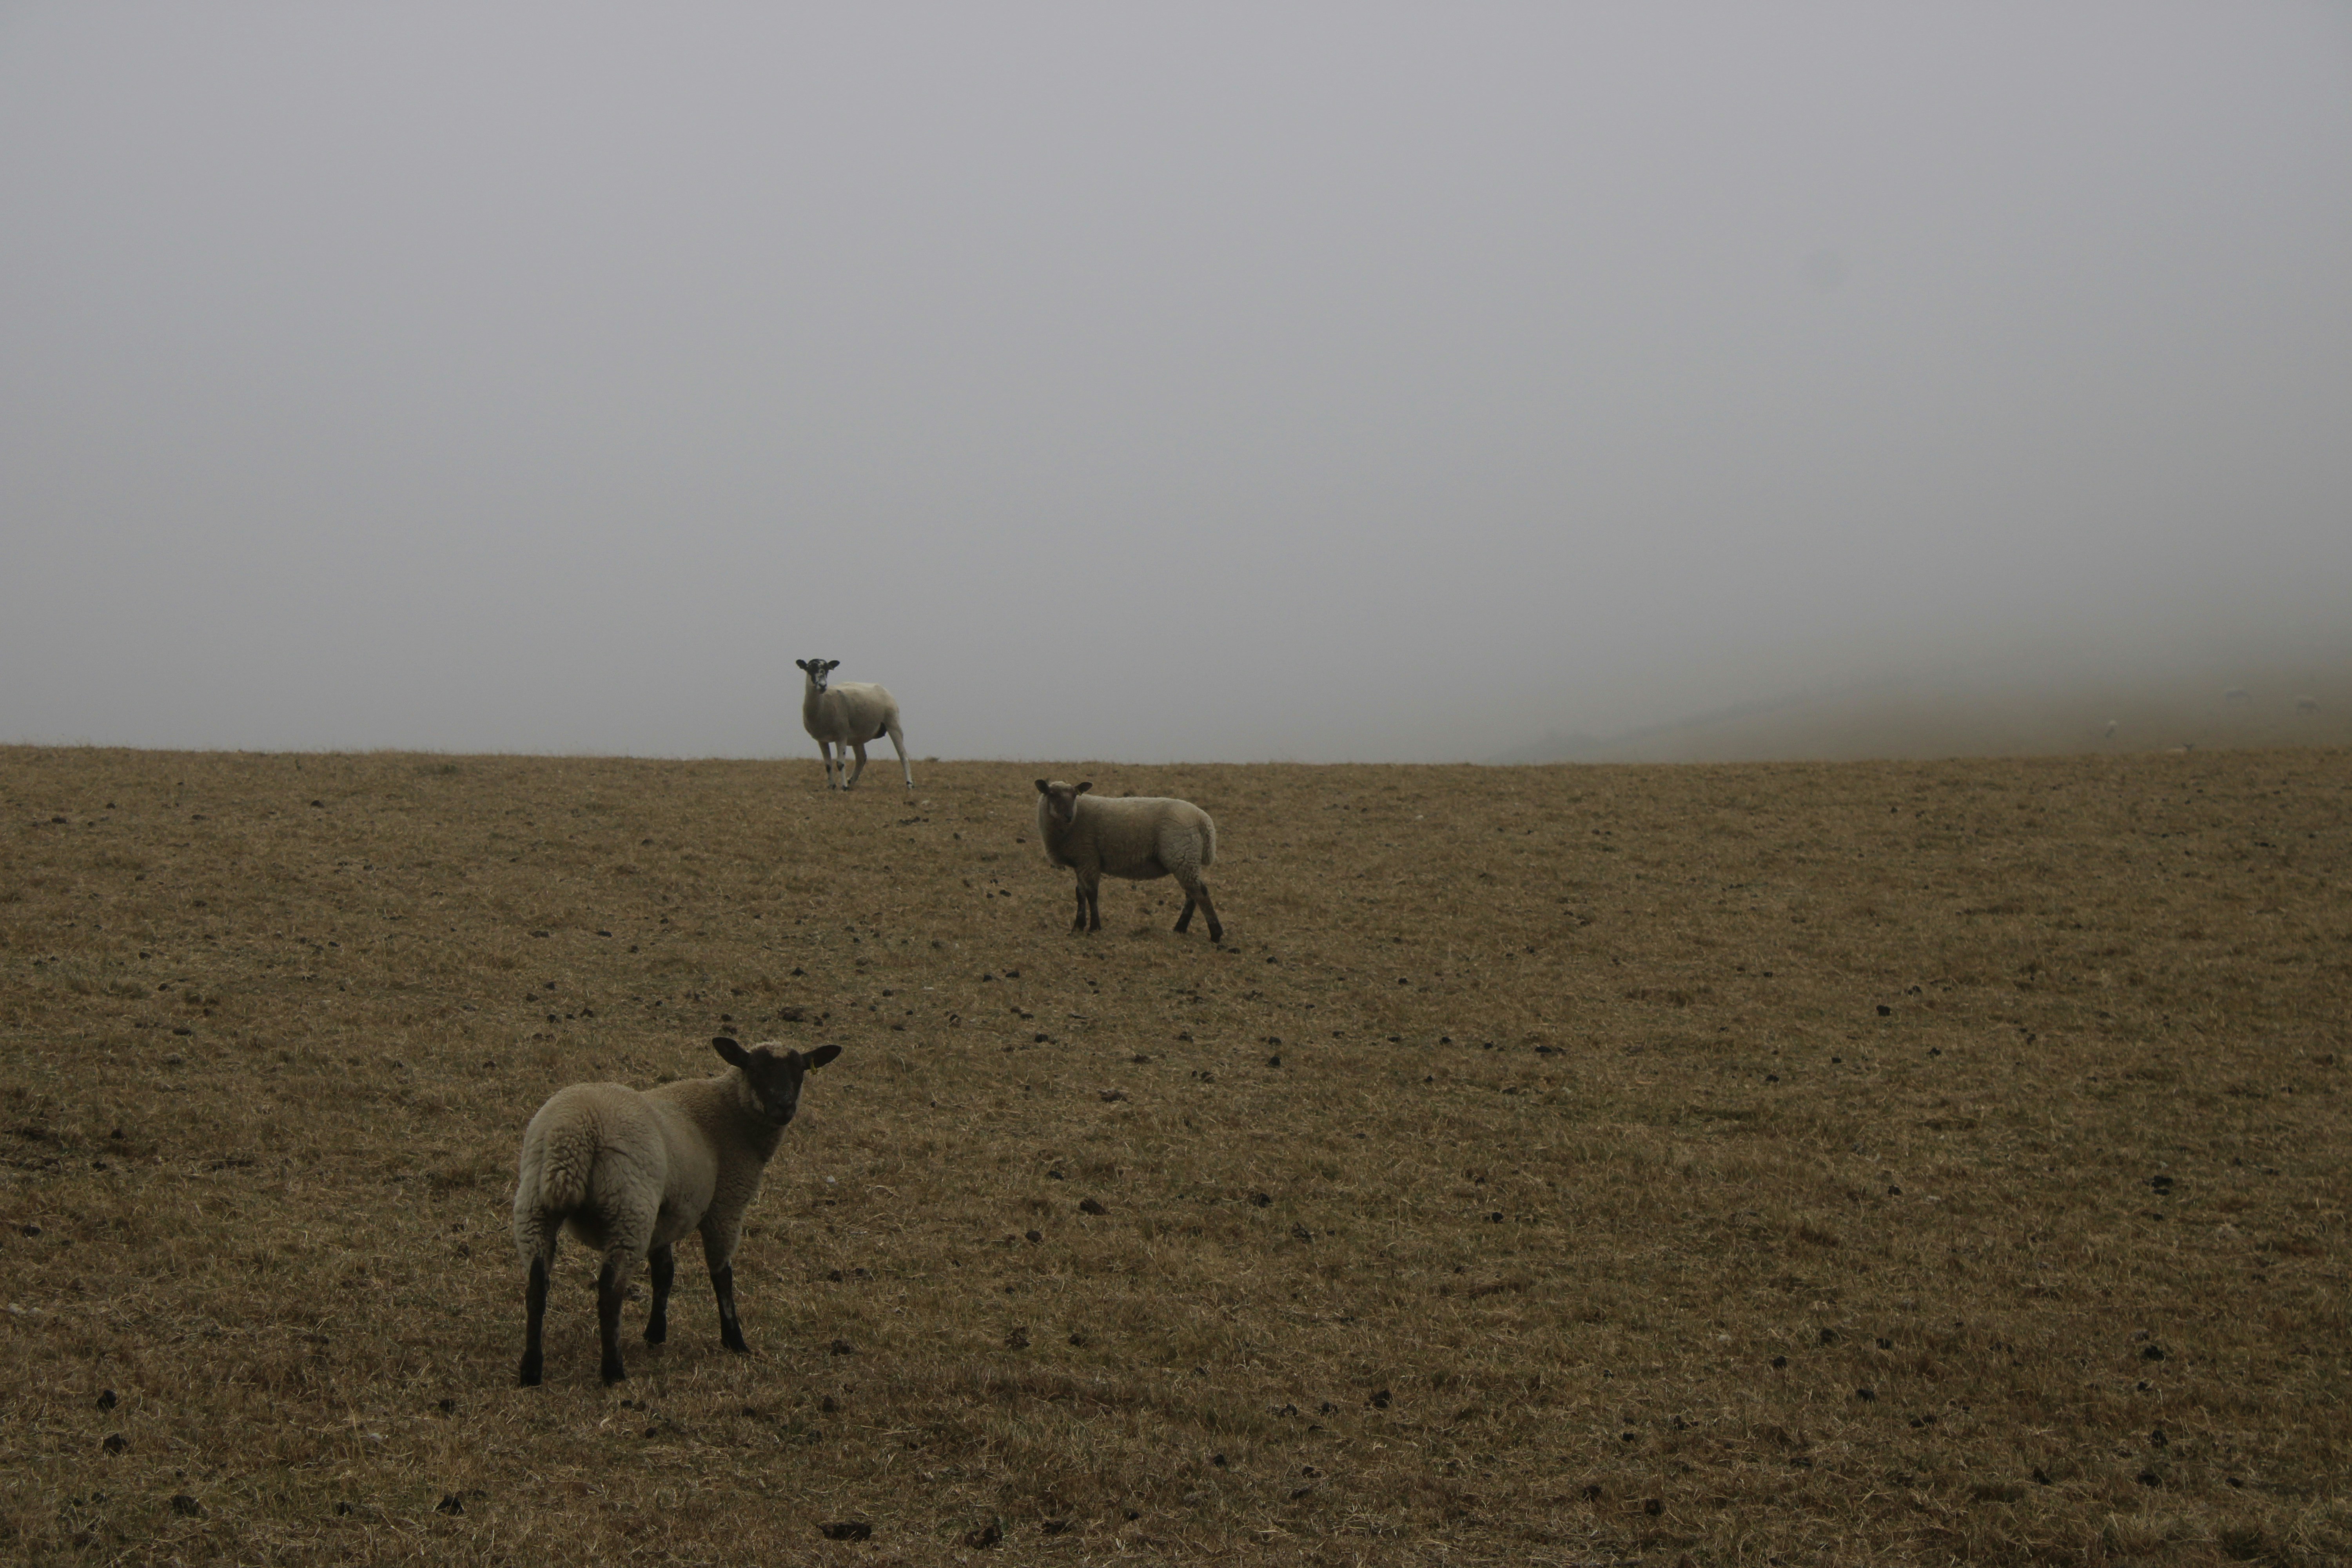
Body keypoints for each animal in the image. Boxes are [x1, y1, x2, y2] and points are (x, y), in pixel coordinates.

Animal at [513, 1036, 841, 1386]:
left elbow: (664, 1273)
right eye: (754, 1070)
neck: (730, 1115)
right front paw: (735, 1341)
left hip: (535, 1205)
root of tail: (574, 1132)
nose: (785, 1108)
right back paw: (613, 1371)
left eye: (801, 1071)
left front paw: (656, 1334)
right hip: (629, 1208)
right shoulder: (725, 1206)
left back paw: (531, 1370)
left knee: (536, 1287)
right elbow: (722, 1276)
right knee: (610, 1291)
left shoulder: (667, 1217)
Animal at [795, 658, 912, 790]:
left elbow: (840, 764)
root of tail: (884, 690)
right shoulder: (822, 740)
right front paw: (832, 787)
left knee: (903, 756)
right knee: (862, 758)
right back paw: (851, 782)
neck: (823, 705)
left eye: (827, 670)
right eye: (809, 669)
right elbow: (828, 765)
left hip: (893, 723)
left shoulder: (841, 735)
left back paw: (909, 784)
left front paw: (844, 788)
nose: (823, 686)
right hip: (859, 735)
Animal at [1035, 778, 1222, 943]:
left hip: (1181, 854)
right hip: (1185, 858)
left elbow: (1092, 894)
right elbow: (1080, 894)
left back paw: (1215, 934)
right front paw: (1077, 928)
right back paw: (1180, 929)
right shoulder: (1081, 862)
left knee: (1200, 892)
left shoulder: (1089, 858)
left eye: (1075, 795)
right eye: (1052, 794)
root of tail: (1203, 820)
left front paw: (1094, 928)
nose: (1068, 816)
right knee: (1192, 893)